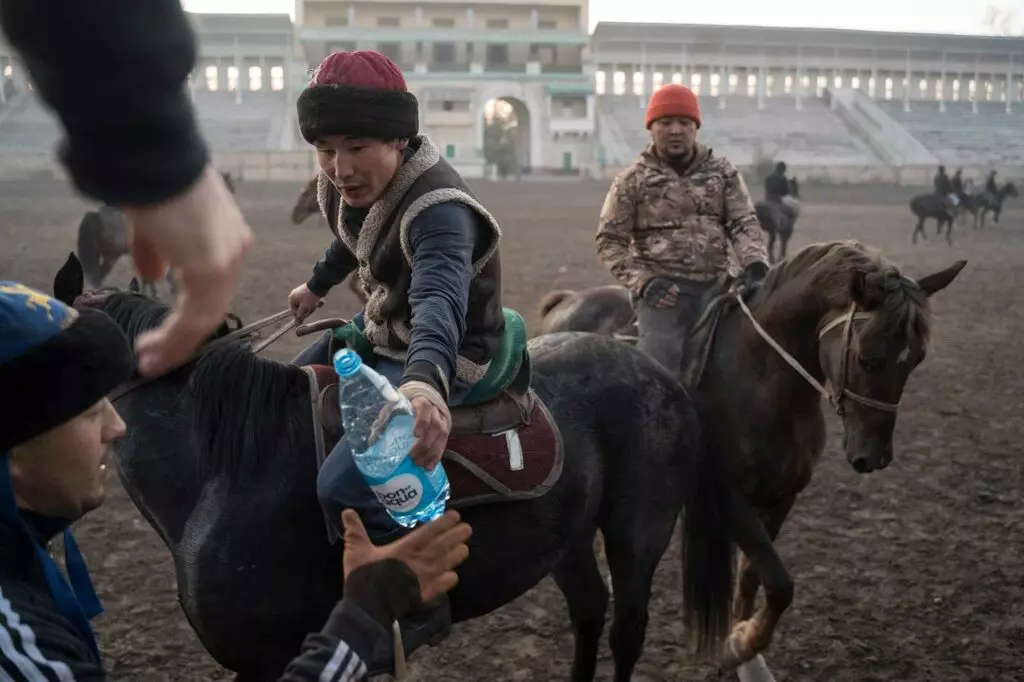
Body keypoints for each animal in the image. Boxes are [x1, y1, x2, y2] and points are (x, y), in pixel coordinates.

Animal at [54, 250, 737, 679]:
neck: (222, 473)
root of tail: (658, 374)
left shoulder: (269, 657)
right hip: (563, 539)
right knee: (590, 611)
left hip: (637, 534)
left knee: (626, 628)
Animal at [532, 238, 962, 675]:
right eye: (866, 358)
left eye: (916, 358)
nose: (873, 456)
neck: (762, 382)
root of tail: (568, 302)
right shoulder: (727, 499)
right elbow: (779, 582)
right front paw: (738, 647)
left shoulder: (782, 496)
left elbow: (756, 578)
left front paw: (745, 650)